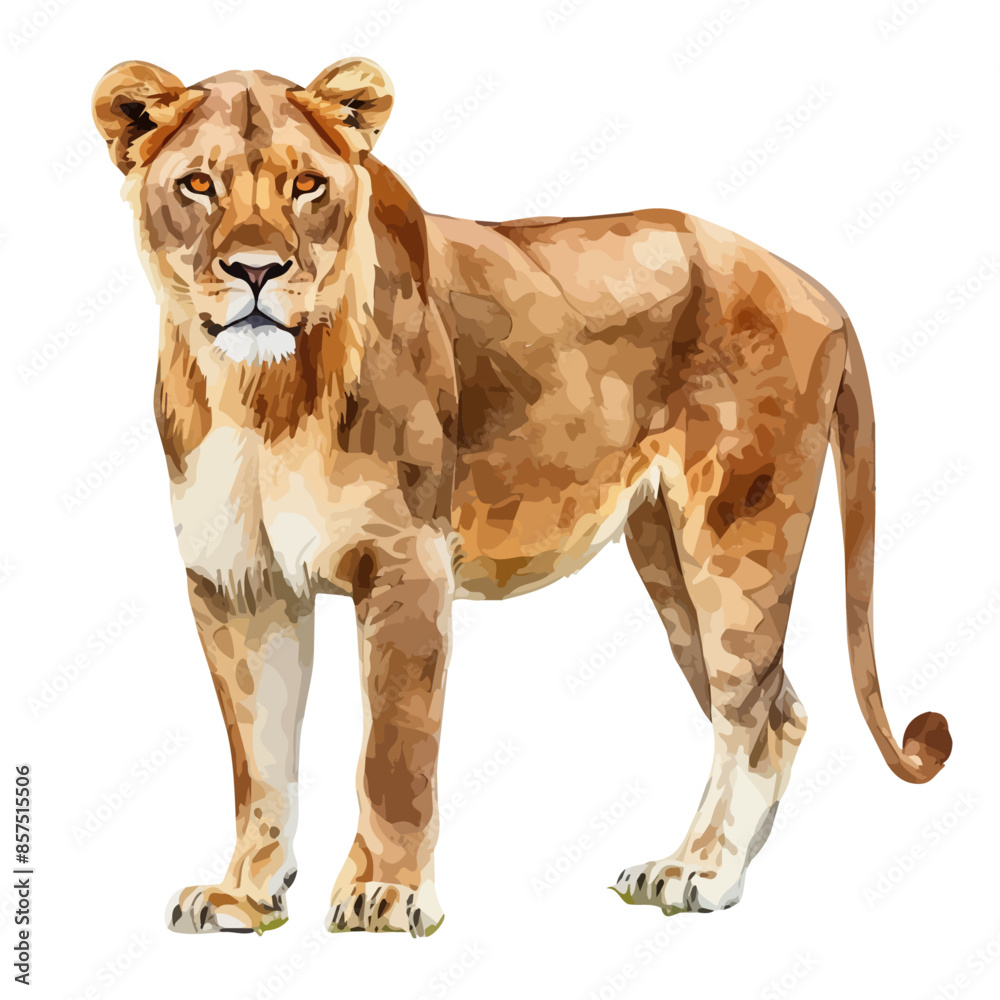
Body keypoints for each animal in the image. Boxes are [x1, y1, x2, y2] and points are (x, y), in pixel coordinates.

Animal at [92, 57, 952, 936]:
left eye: (306, 186)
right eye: (199, 185)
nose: (257, 271)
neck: (258, 394)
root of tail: (819, 289)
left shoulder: (405, 562)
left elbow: (394, 751)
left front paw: (386, 895)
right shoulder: (238, 583)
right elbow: (259, 758)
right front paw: (242, 893)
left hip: (737, 536)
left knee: (757, 712)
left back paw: (697, 873)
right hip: (667, 556)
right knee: (772, 711)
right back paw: (699, 870)